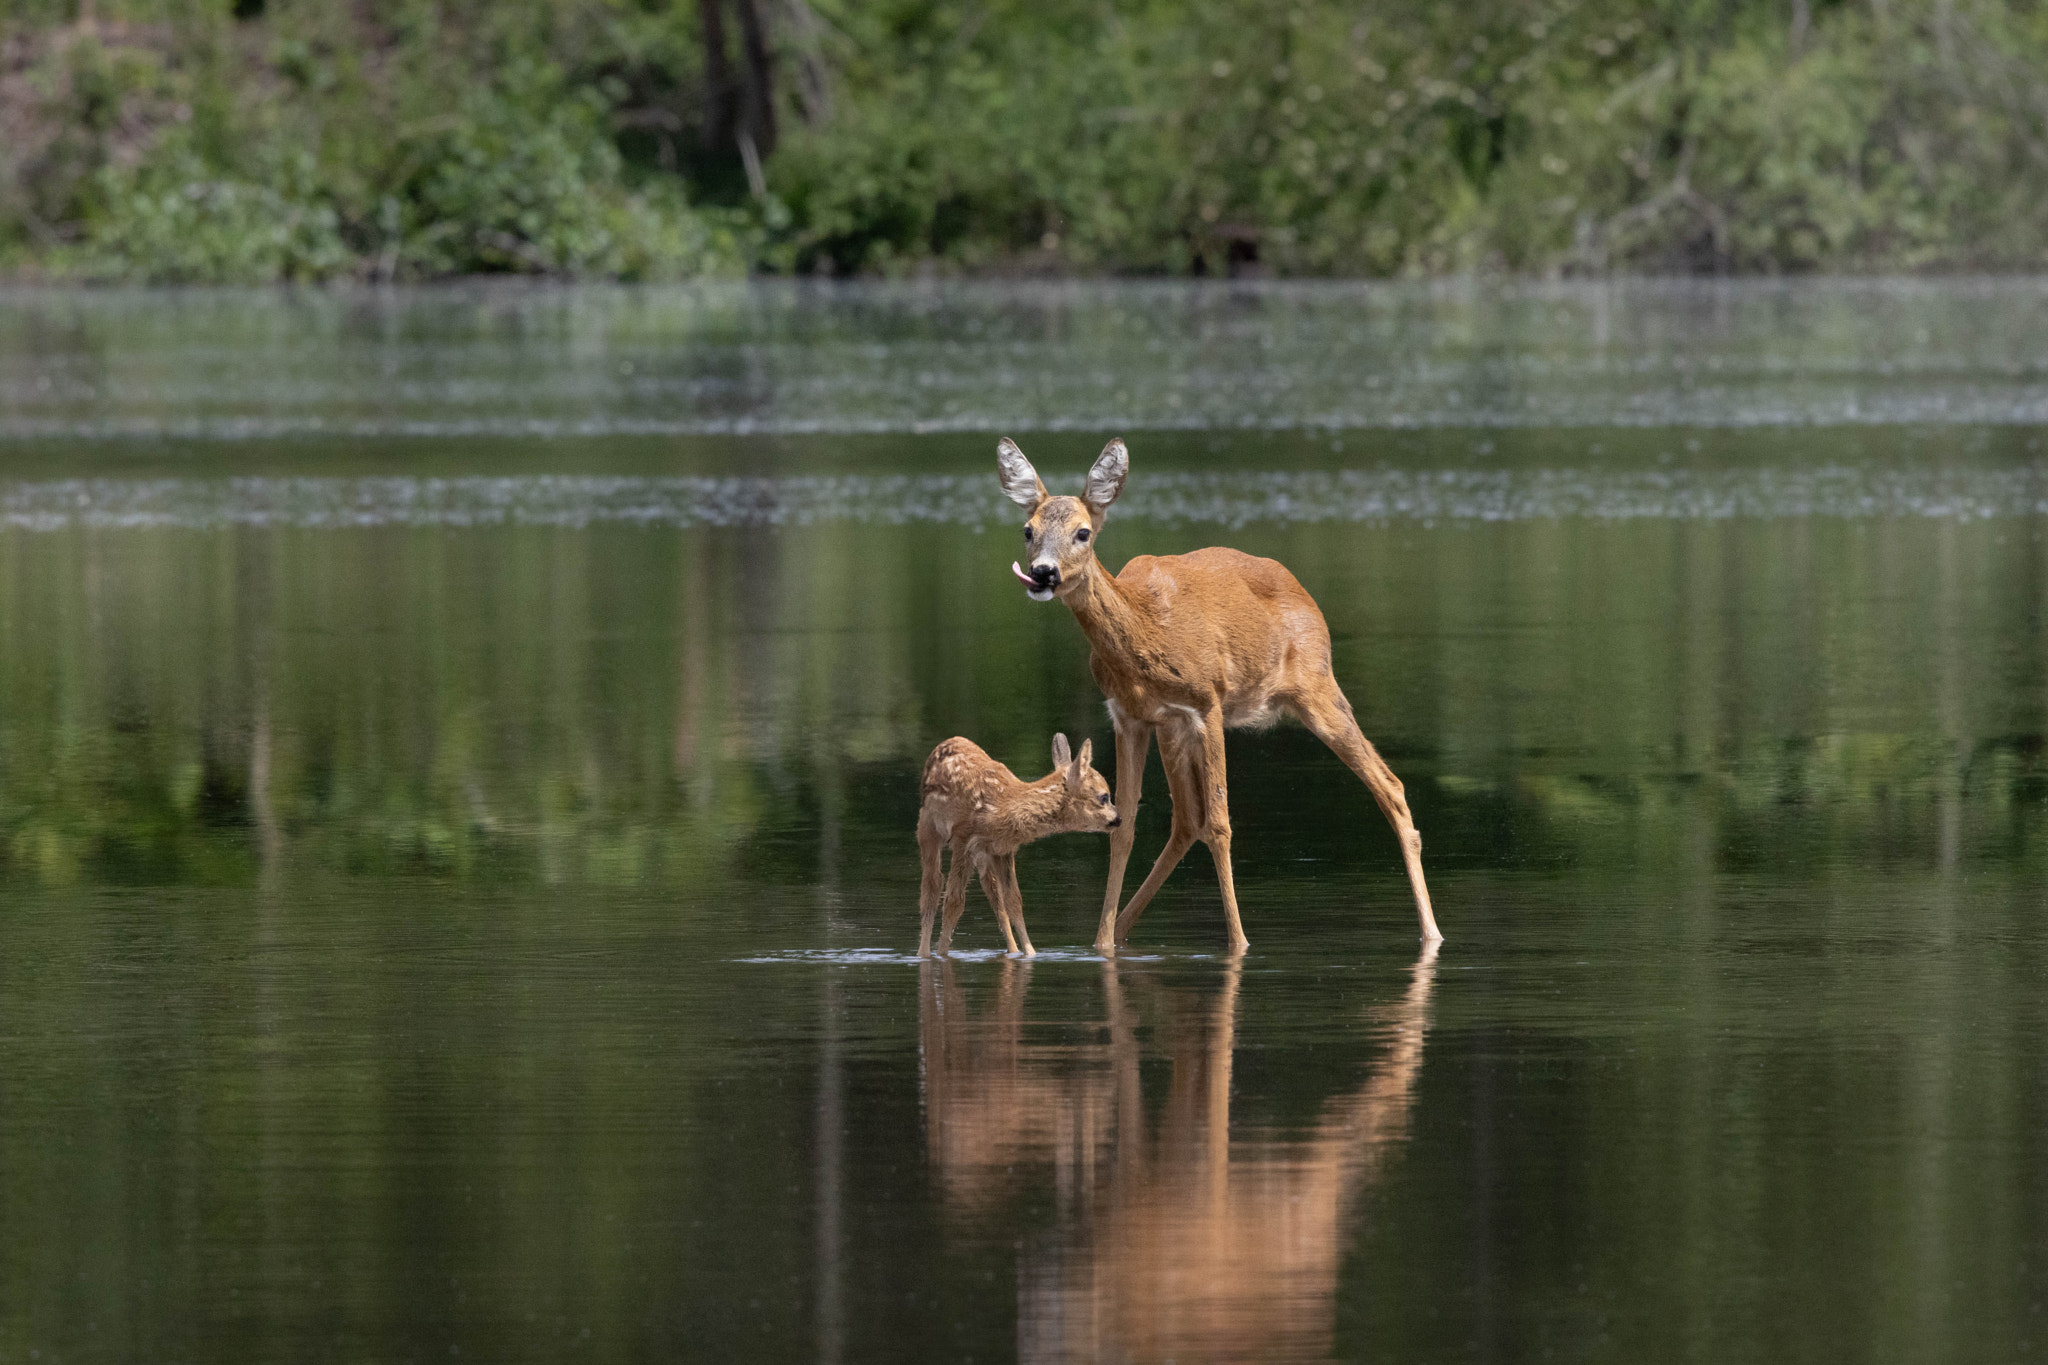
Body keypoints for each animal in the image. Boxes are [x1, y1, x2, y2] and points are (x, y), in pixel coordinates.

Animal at [918, 733, 1122, 957]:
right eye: (1104, 796)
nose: (1118, 819)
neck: (1001, 807)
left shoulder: (1003, 849)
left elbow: (1014, 901)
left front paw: (1030, 953)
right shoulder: (963, 838)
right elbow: (954, 902)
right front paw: (941, 955)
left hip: (983, 856)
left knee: (993, 892)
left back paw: (1011, 950)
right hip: (927, 826)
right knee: (932, 885)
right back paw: (923, 953)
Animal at [997, 436, 1443, 954]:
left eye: (1083, 532)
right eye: (1027, 530)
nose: (1043, 574)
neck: (1146, 629)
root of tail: (1304, 593)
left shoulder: (1207, 703)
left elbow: (1222, 822)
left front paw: (1240, 944)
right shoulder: (1132, 716)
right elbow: (1125, 826)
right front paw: (1102, 944)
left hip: (1317, 687)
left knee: (1389, 785)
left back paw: (1432, 933)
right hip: (1177, 729)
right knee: (1186, 819)